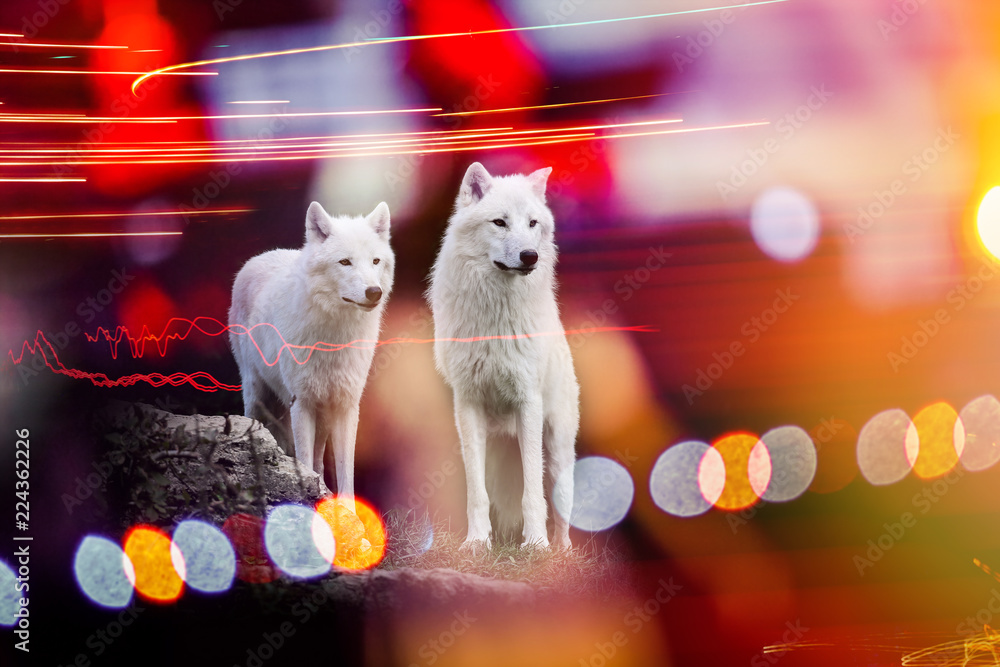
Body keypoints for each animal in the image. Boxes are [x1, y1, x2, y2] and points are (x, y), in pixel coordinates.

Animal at [229, 201, 394, 504]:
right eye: (345, 262)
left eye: (375, 261)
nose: (374, 292)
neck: (334, 340)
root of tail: (262, 255)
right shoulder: (301, 403)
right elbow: (303, 461)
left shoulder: (346, 406)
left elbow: (345, 472)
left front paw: (348, 512)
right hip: (257, 397)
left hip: (323, 416)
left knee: (318, 460)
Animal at [428, 162, 579, 549]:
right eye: (499, 222)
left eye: (532, 223)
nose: (530, 256)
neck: (495, 316)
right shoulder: (467, 405)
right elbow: (475, 493)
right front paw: (477, 543)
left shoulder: (528, 402)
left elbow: (533, 492)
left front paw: (536, 545)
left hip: (558, 449)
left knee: (561, 508)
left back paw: (561, 552)